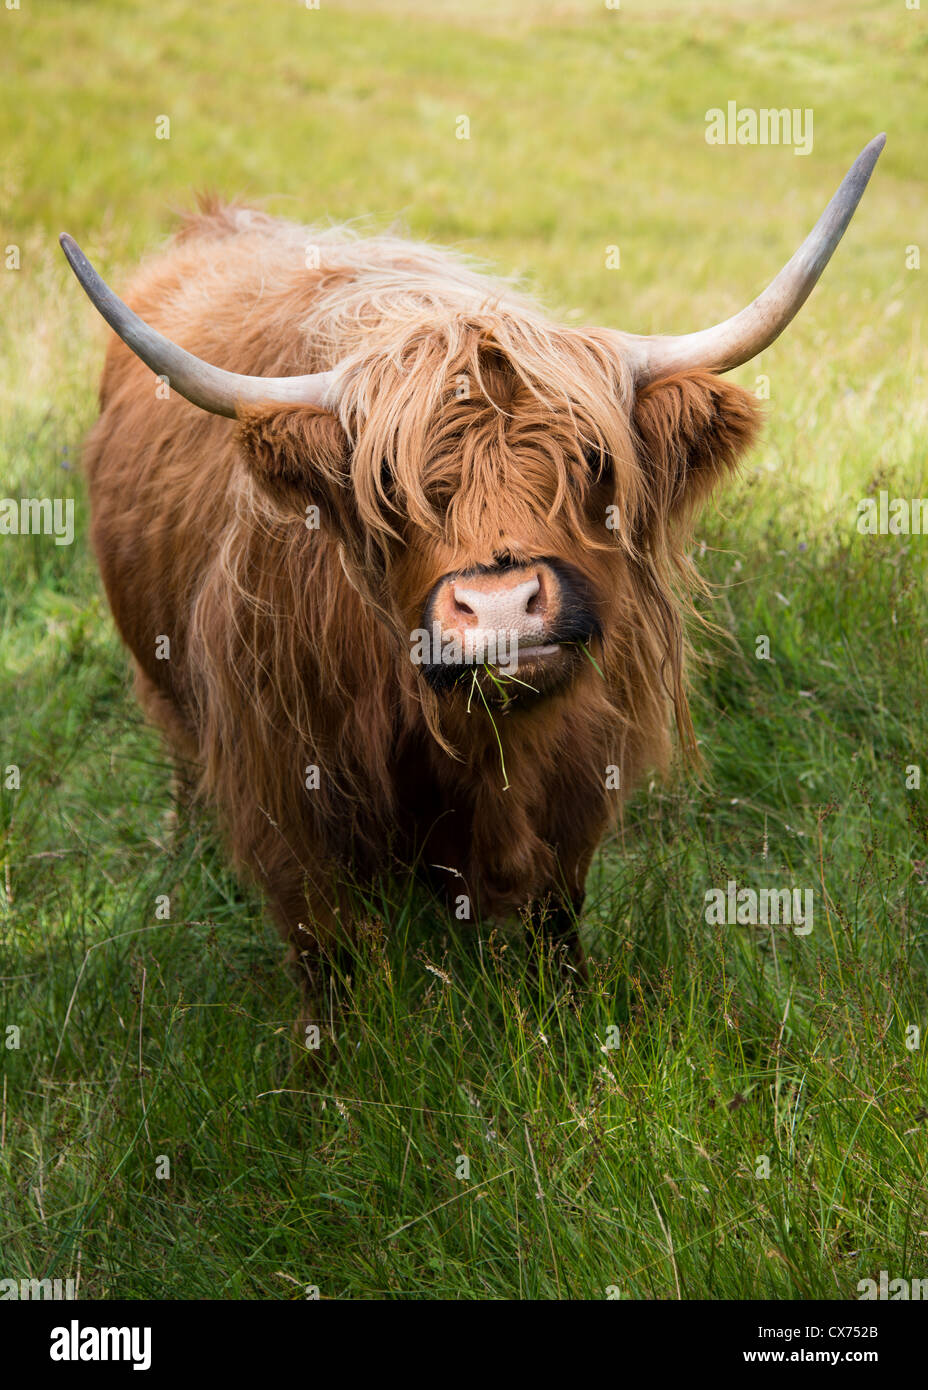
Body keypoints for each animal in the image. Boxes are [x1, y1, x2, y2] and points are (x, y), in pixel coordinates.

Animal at [61, 136, 884, 1006]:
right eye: (390, 483)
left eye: (594, 461)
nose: (498, 608)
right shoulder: (285, 800)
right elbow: (329, 961)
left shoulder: (578, 783)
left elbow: (558, 917)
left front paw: (571, 1013)